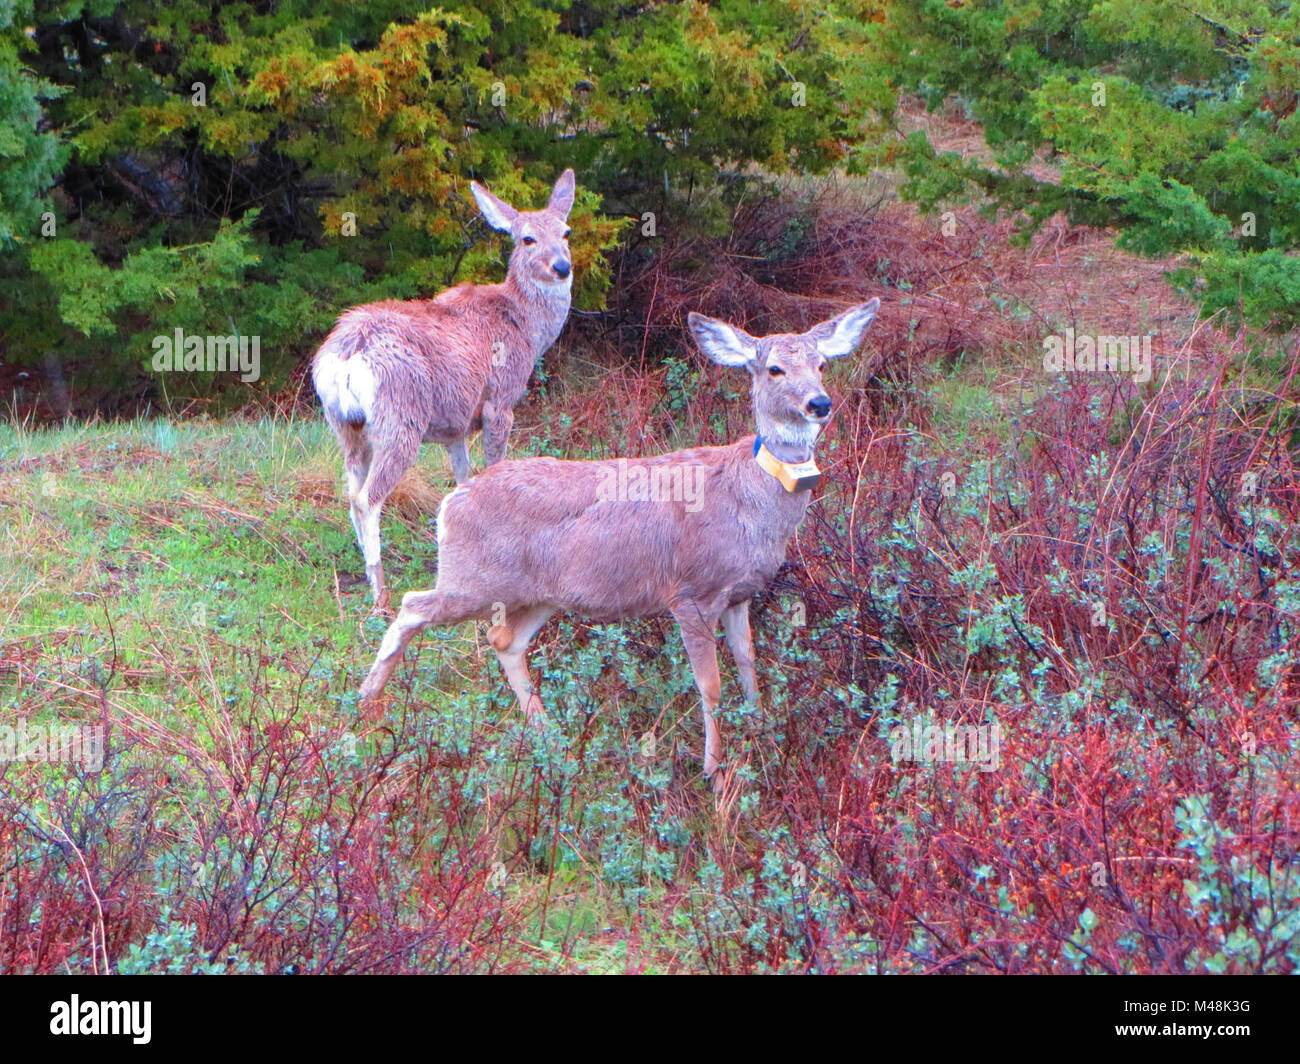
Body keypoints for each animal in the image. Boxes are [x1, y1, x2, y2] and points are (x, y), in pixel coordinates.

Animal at [311, 169, 577, 612]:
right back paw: (381, 594)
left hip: (345, 425)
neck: (525, 325)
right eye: (527, 238)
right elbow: (492, 468)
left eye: (566, 232)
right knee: (368, 499)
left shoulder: (456, 424)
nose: (562, 266)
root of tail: (348, 352)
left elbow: (462, 480)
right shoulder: (499, 400)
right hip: (400, 418)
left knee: (350, 494)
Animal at [357, 299, 880, 788]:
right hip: (473, 578)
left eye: (821, 364)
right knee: (413, 605)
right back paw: (366, 702)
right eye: (774, 369)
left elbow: (749, 664)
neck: (750, 498)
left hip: (540, 594)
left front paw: (760, 731)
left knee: (503, 640)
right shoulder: (690, 594)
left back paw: (549, 736)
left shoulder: (740, 594)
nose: (819, 403)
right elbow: (710, 685)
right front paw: (714, 771)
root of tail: (451, 503)